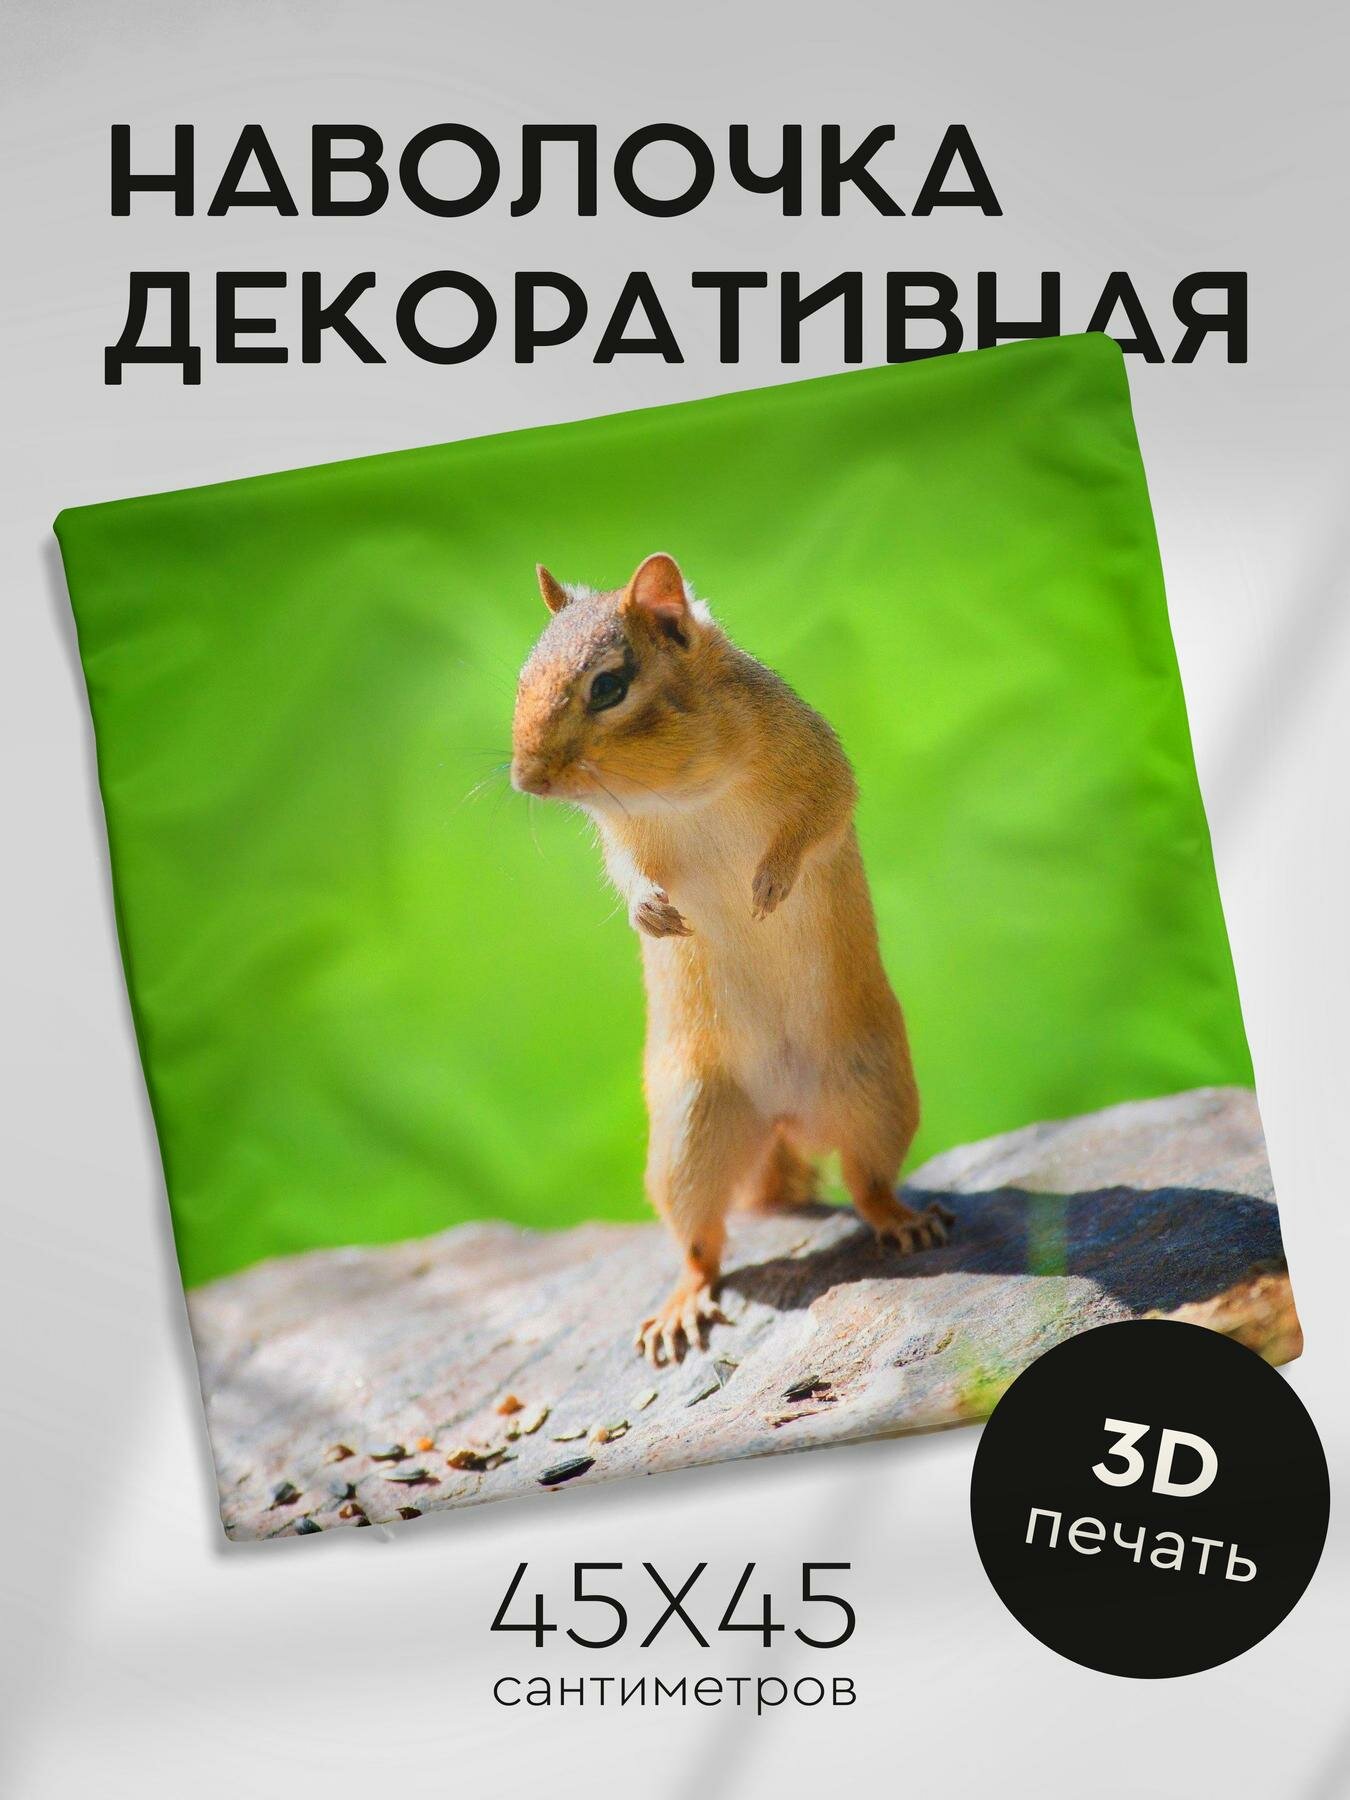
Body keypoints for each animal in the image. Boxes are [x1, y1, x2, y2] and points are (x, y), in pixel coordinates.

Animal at [511, 552, 950, 1366]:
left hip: (877, 1093)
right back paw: (682, 1306)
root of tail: (782, 1117)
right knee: (701, 1243)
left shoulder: (816, 757)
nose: (527, 779)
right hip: (690, 1133)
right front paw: (651, 914)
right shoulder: (623, 836)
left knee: (867, 1183)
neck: (679, 787)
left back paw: (904, 1220)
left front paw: (771, 883)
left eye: (609, 686)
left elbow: (823, 815)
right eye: (522, 677)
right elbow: (626, 875)